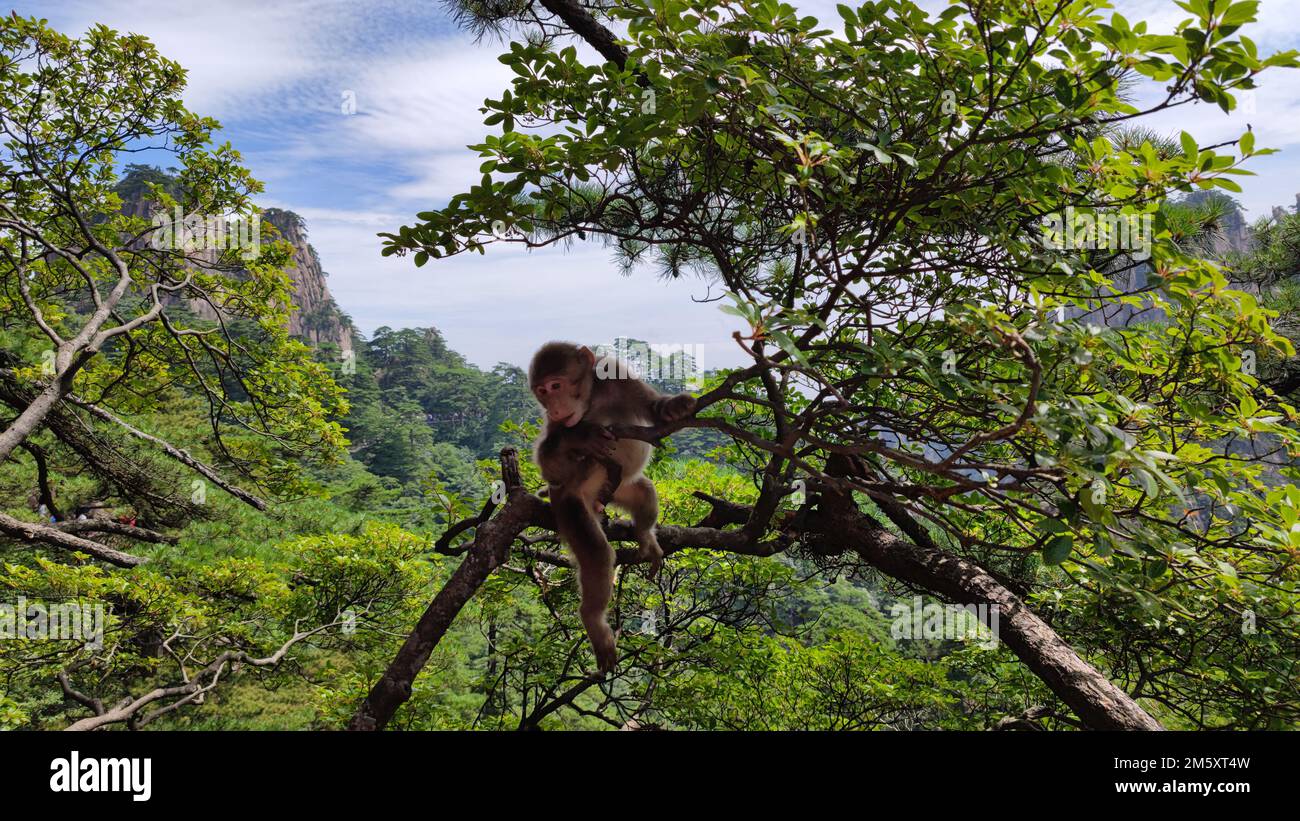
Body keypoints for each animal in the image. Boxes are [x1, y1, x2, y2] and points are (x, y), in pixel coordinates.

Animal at [529, 342, 697, 674]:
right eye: (541, 390)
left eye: (556, 386)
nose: (553, 408)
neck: (592, 400)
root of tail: (594, 496)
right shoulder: (558, 436)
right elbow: (550, 467)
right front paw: (580, 436)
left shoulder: (618, 377)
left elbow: (653, 411)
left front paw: (673, 406)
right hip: (571, 503)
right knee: (597, 553)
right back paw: (592, 619)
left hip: (619, 488)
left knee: (644, 491)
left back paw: (645, 538)